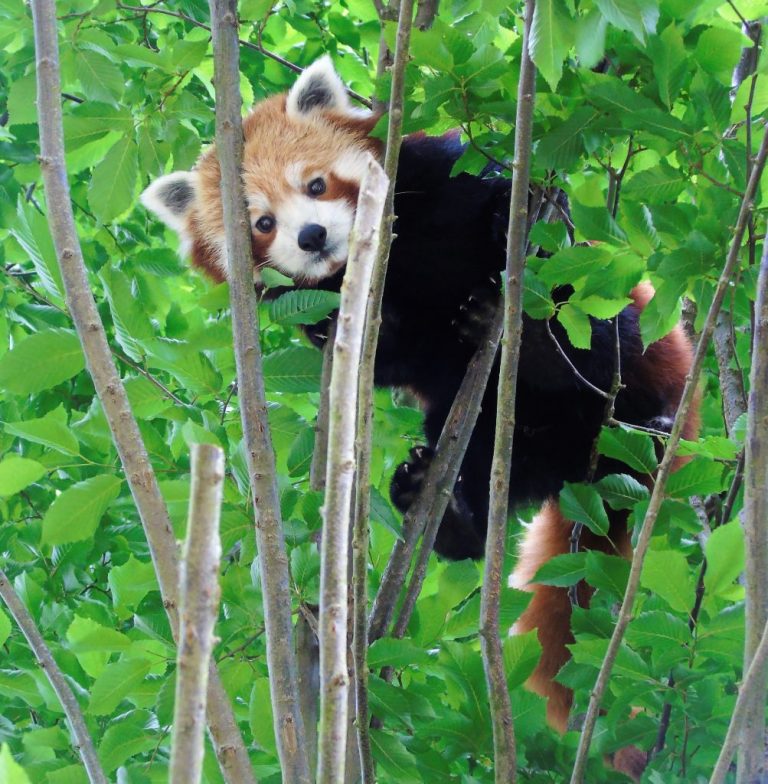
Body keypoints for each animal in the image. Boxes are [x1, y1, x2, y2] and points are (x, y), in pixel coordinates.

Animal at [141, 56, 699, 756]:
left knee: (597, 329)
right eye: (262, 222)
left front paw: (524, 206)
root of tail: (592, 470)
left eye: (316, 184)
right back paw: (449, 510)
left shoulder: (439, 180)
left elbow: (513, 211)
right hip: (507, 437)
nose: (313, 236)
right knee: (480, 456)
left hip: (644, 352)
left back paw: (569, 366)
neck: (394, 256)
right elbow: (392, 355)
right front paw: (328, 329)